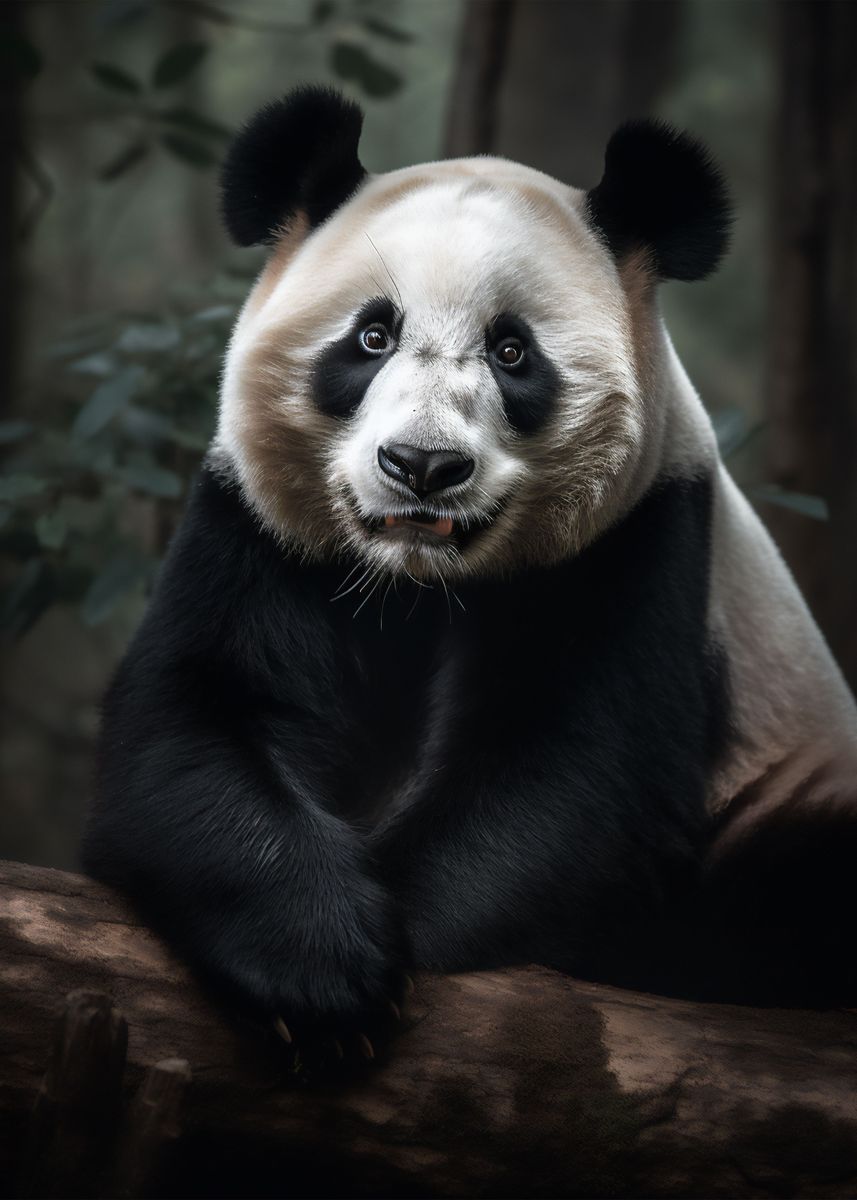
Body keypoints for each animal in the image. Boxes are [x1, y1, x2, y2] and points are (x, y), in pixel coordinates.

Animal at [83, 87, 857, 1056]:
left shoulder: (634, 545)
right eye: (373, 335)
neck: (410, 582)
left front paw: (380, 945)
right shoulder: (259, 529)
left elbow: (563, 788)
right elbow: (192, 720)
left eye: (511, 351)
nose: (421, 465)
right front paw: (318, 967)